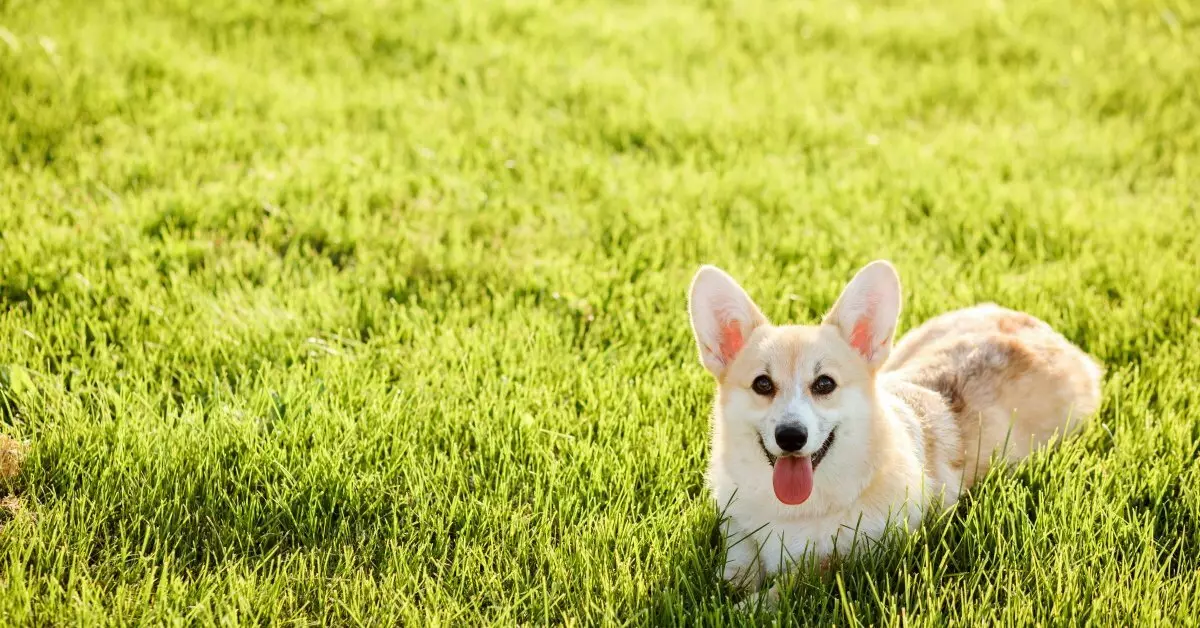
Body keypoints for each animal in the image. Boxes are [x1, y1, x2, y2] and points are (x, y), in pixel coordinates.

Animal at [691, 260, 1099, 605]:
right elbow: (738, 562)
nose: (791, 436)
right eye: (762, 384)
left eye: (824, 384)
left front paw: (744, 607)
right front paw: (730, 587)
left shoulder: (853, 560)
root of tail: (1041, 327)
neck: (796, 511)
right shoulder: (737, 527)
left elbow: (793, 584)